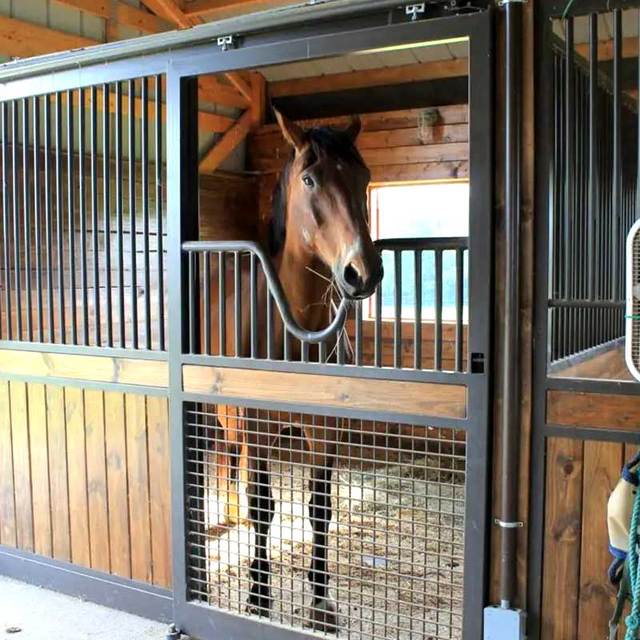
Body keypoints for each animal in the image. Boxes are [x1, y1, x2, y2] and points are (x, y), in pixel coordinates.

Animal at [208, 109, 383, 631]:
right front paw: (258, 596)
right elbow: (264, 506)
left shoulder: (325, 431)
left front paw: (321, 603)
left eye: (364, 176)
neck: (295, 331)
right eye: (310, 178)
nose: (362, 272)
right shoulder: (259, 429)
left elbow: (320, 508)